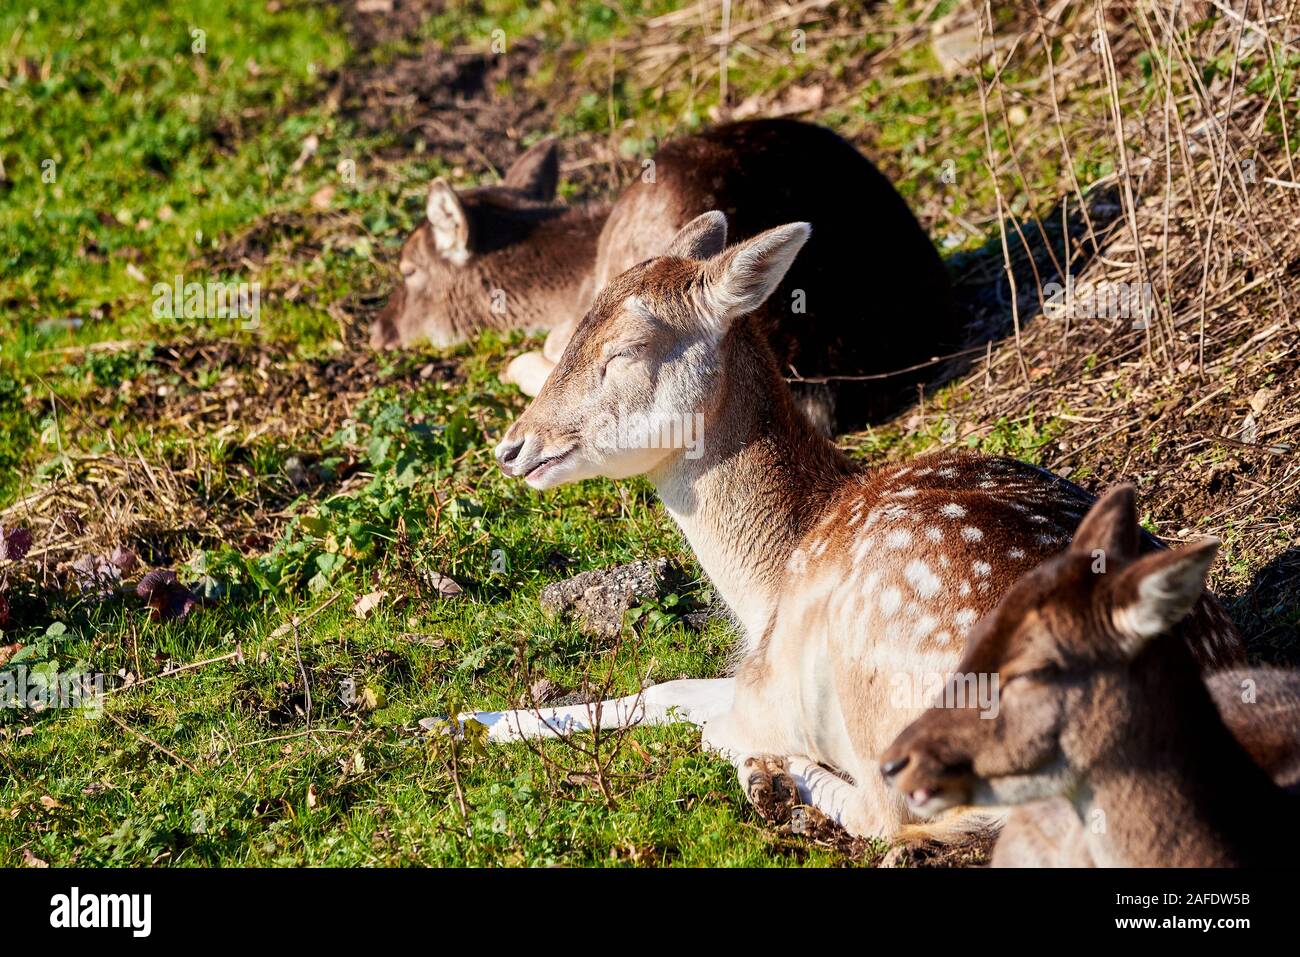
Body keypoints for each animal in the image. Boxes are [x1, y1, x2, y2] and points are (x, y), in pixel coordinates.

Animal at [469, 211, 1243, 839]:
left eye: (625, 349)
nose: (513, 448)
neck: (766, 587)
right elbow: (667, 689)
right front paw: (473, 721)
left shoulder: (769, 687)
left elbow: (707, 716)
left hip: (882, 688)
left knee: (885, 813)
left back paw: (777, 781)